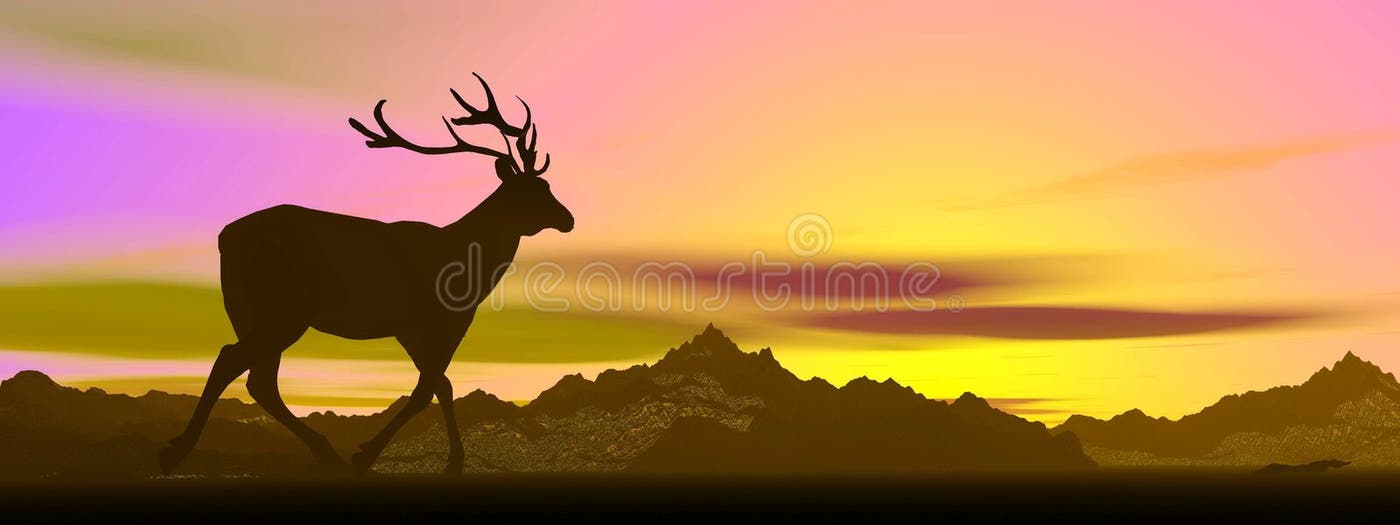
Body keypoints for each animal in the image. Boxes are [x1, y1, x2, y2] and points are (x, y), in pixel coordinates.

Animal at [159, 74, 572, 476]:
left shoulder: (414, 328)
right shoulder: (439, 319)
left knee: (260, 381)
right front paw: (372, 453)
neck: (471, 267)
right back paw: (176, 451)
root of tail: (224, 238)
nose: (568, 218)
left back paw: (322, 450)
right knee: (233, 360)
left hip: (252, 311)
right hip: (281, 309)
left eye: (546, 184)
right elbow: (427, 390)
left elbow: (440, 386)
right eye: (531, 191)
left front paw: (447, 458)